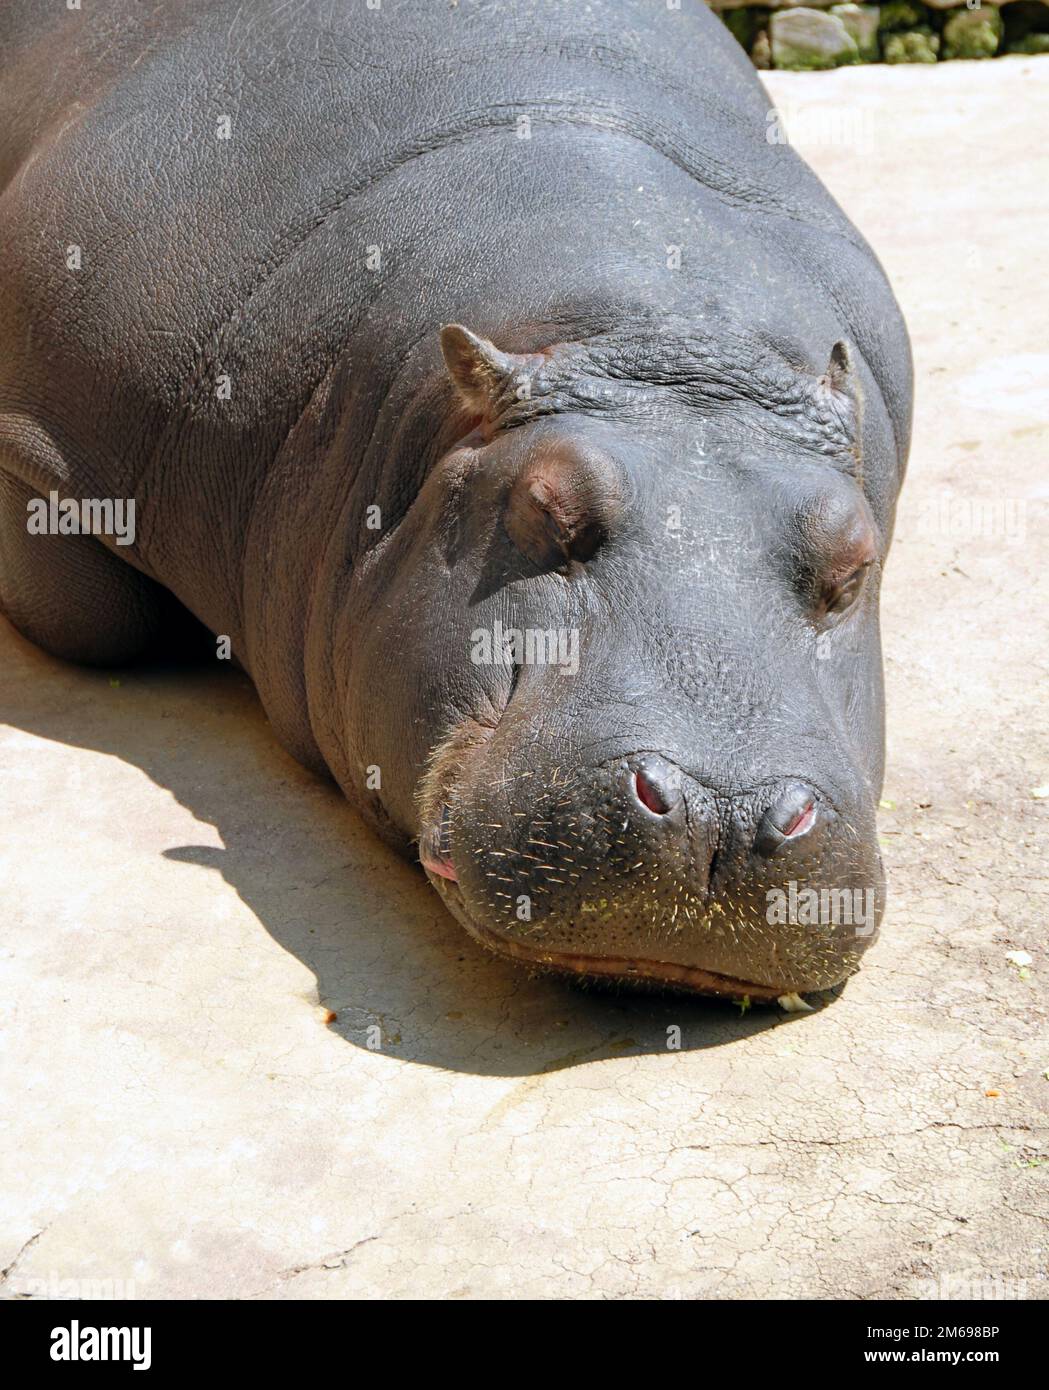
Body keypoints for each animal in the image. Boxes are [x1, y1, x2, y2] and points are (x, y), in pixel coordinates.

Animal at [0, 0, 911, 1001]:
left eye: (853, 565)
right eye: (544, 507)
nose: (722, 808)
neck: (666, 339)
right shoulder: (50, 431)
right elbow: (92, 612)